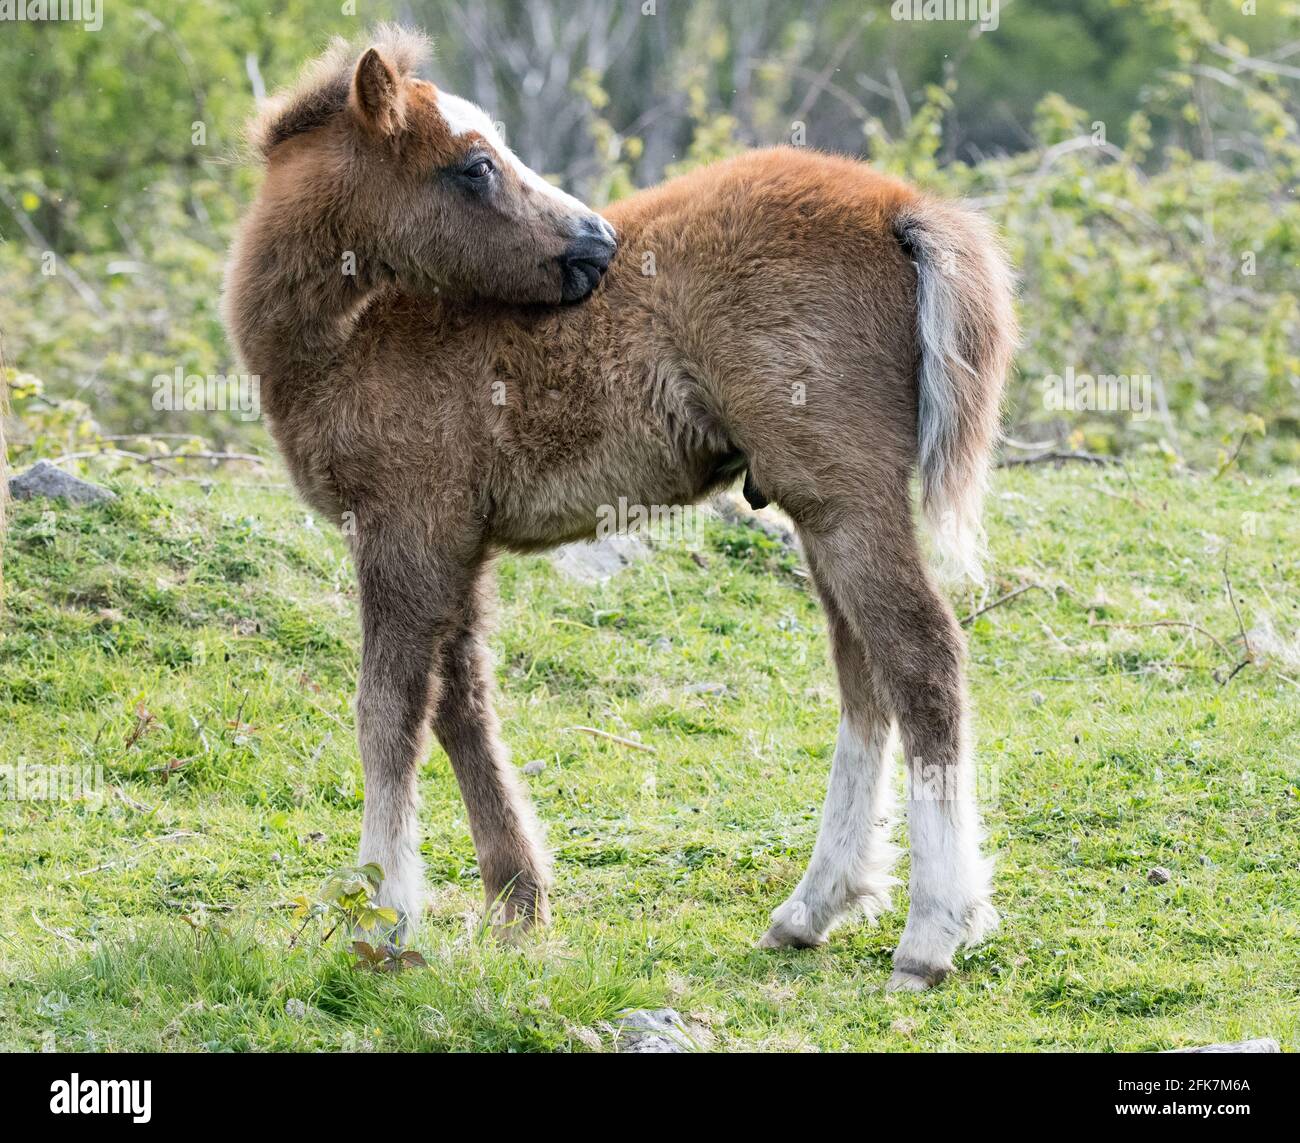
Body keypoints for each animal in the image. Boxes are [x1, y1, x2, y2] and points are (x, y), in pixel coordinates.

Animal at [223, 25, 1016, 990]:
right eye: (476, 166)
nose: (595, 245)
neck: (362, 328)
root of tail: (902, 206)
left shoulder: (407, 530)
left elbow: (388, 714)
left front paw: (386, 919)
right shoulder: (457, 546)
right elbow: (461, 707)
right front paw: (519, 901)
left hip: (844, 496)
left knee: (922, 659)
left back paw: (932, 931)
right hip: (821, 507)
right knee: (865, 677)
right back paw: (813, 906)